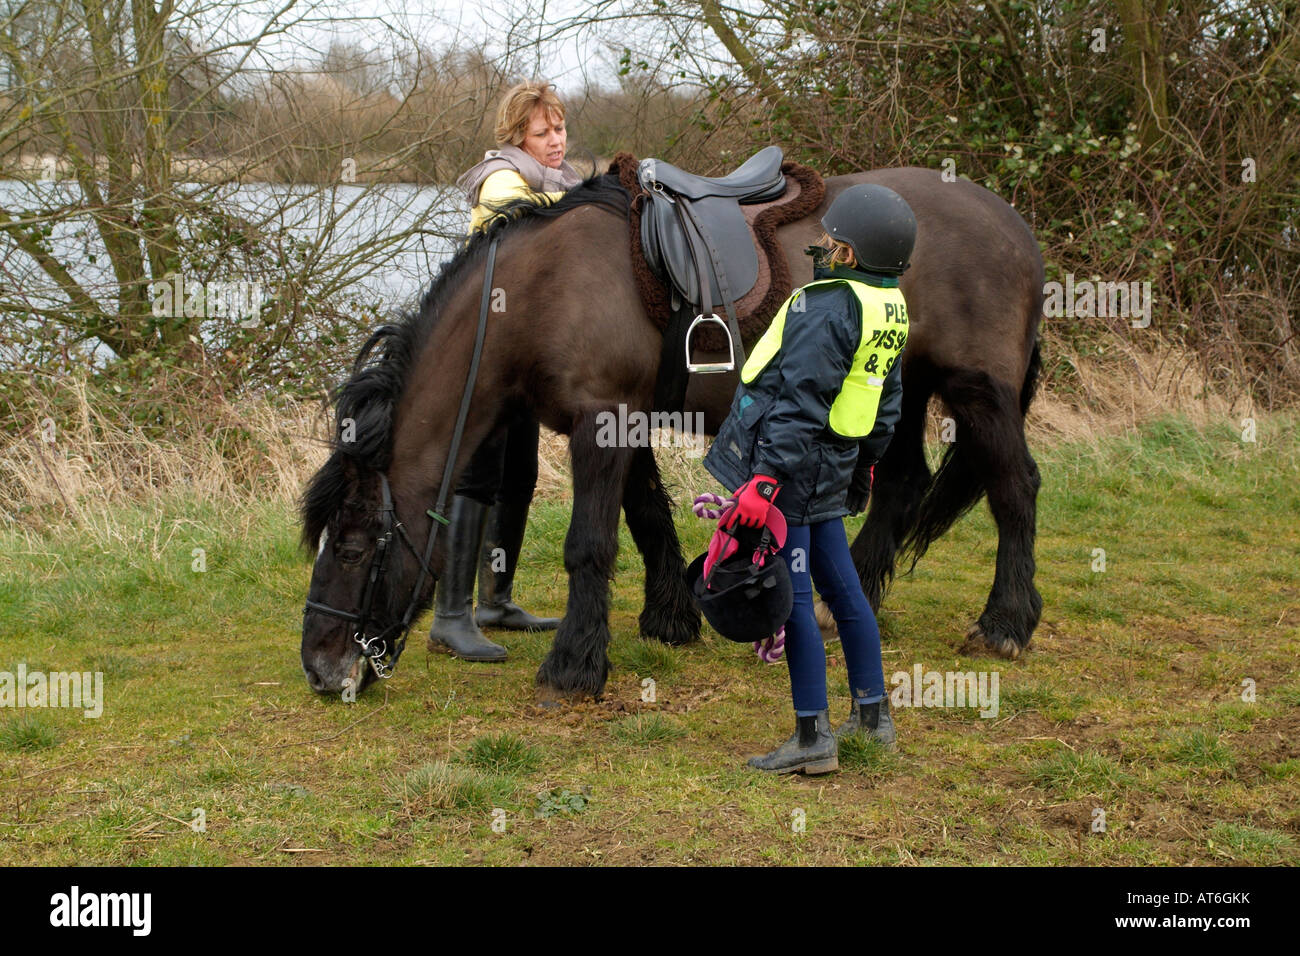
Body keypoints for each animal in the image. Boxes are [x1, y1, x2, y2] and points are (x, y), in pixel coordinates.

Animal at [299, 166, 1043, 699]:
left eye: (355, 547)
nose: (318, 667)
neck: (538, 291)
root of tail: (1013, 223)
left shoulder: (602, 420)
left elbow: (589, 544)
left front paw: (574, 666)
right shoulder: (627, 420)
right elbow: (649, 515)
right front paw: (670, 619)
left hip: (977, 390)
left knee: (1016, 488)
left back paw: (1005, 623)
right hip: (894, 385)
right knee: (902, 485)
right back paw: (848, 601)